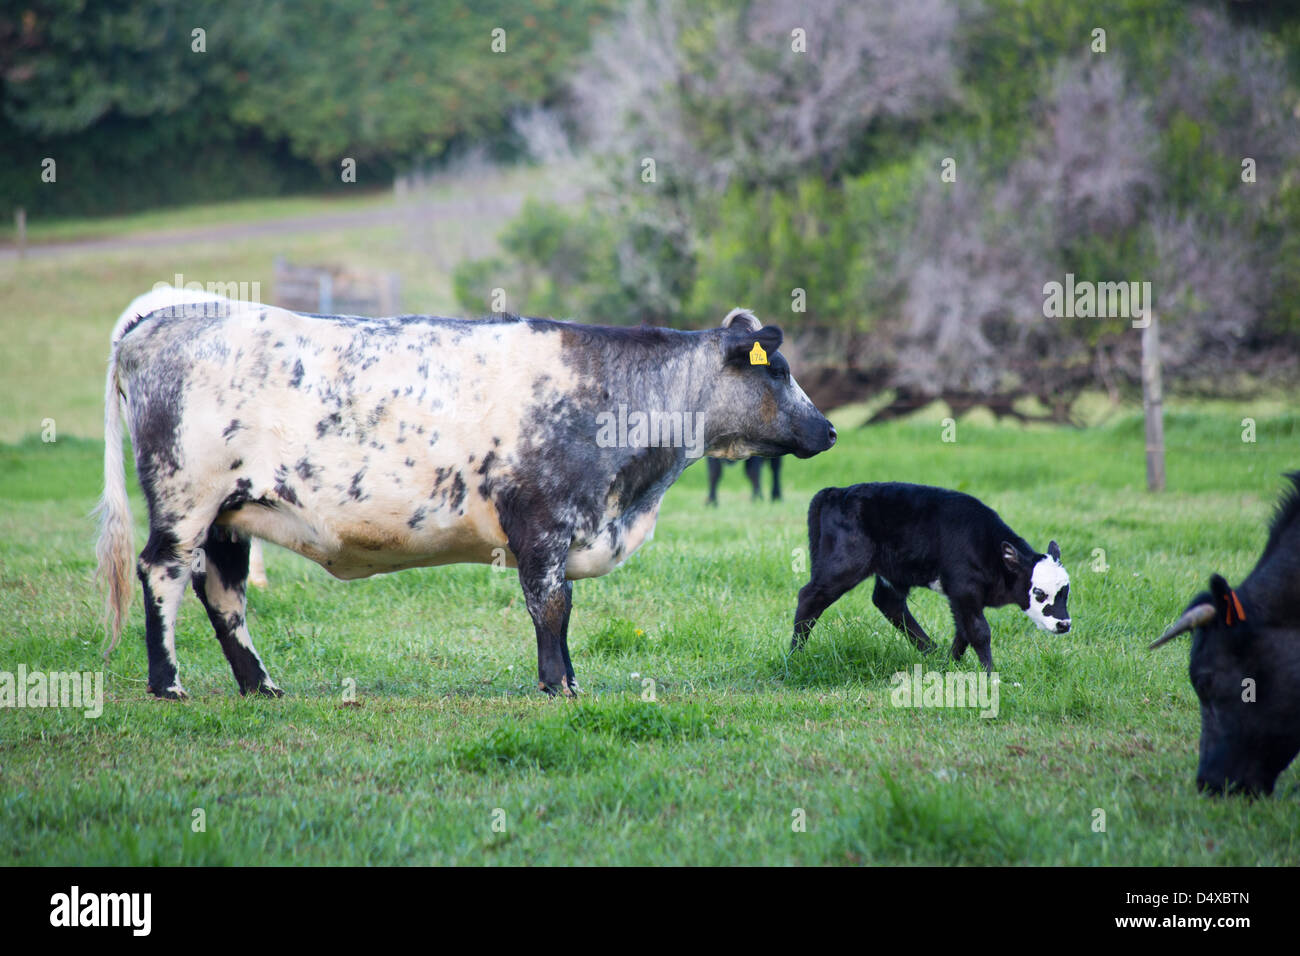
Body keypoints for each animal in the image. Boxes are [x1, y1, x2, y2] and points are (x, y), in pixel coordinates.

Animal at [95, 299, 836, 699]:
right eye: (780, 370)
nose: (828, 429)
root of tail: (160, 316)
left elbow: (561, 609)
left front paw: (565, 679)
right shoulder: (541, 525)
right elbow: (551, 607)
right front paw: (559, 684)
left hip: (231, 513)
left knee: (224, 591)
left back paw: (261, 685)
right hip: (186, 498)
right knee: (163, 573)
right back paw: (168, 682)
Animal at [791, 482, 1070, 672]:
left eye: (1065, 592)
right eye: (1039, 592)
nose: (1064, 625)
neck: (988, 547)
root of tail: (836, 492)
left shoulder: (961, 597)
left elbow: (963, 632)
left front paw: (951, 665)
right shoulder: (964, 590)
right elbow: (979, 631)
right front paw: (990, 674)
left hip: (892, 574)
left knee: (889, 603)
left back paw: (933, 653)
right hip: (843, 566)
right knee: (809, 597)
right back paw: (795, 656)